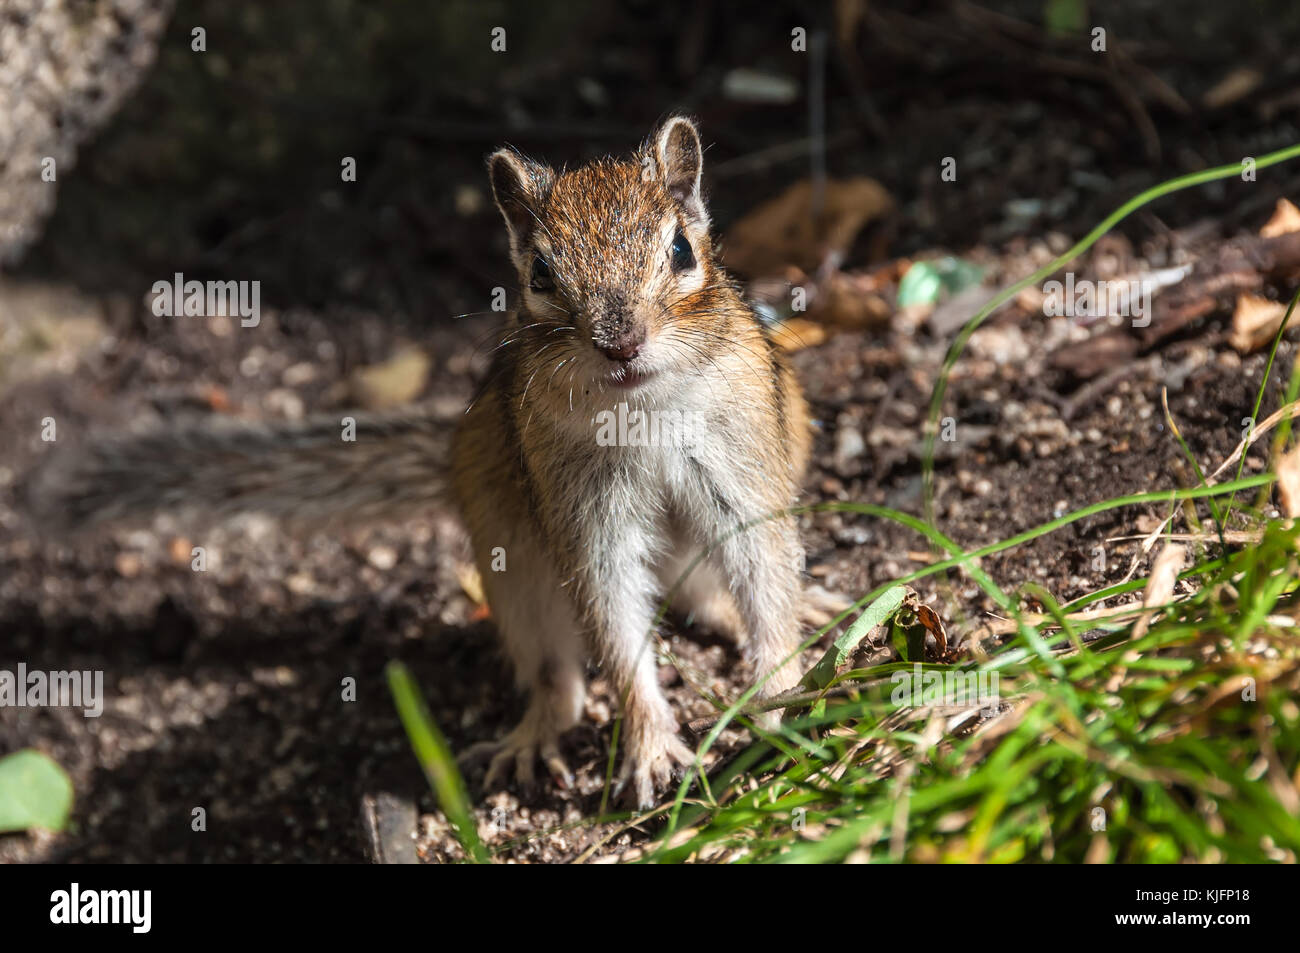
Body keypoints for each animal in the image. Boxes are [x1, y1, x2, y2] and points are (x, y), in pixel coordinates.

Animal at [26, 117, 813, 808]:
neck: (643, 407)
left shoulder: (741, 474)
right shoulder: (587, 520)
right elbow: (615, 622)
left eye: (681, 251)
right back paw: (535, 733)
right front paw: (649, 743)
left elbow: (763, 575)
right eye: (540, 272)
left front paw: (780, 693)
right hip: (515, 568)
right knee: (557, 674)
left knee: (705, 592)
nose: (621, 343)